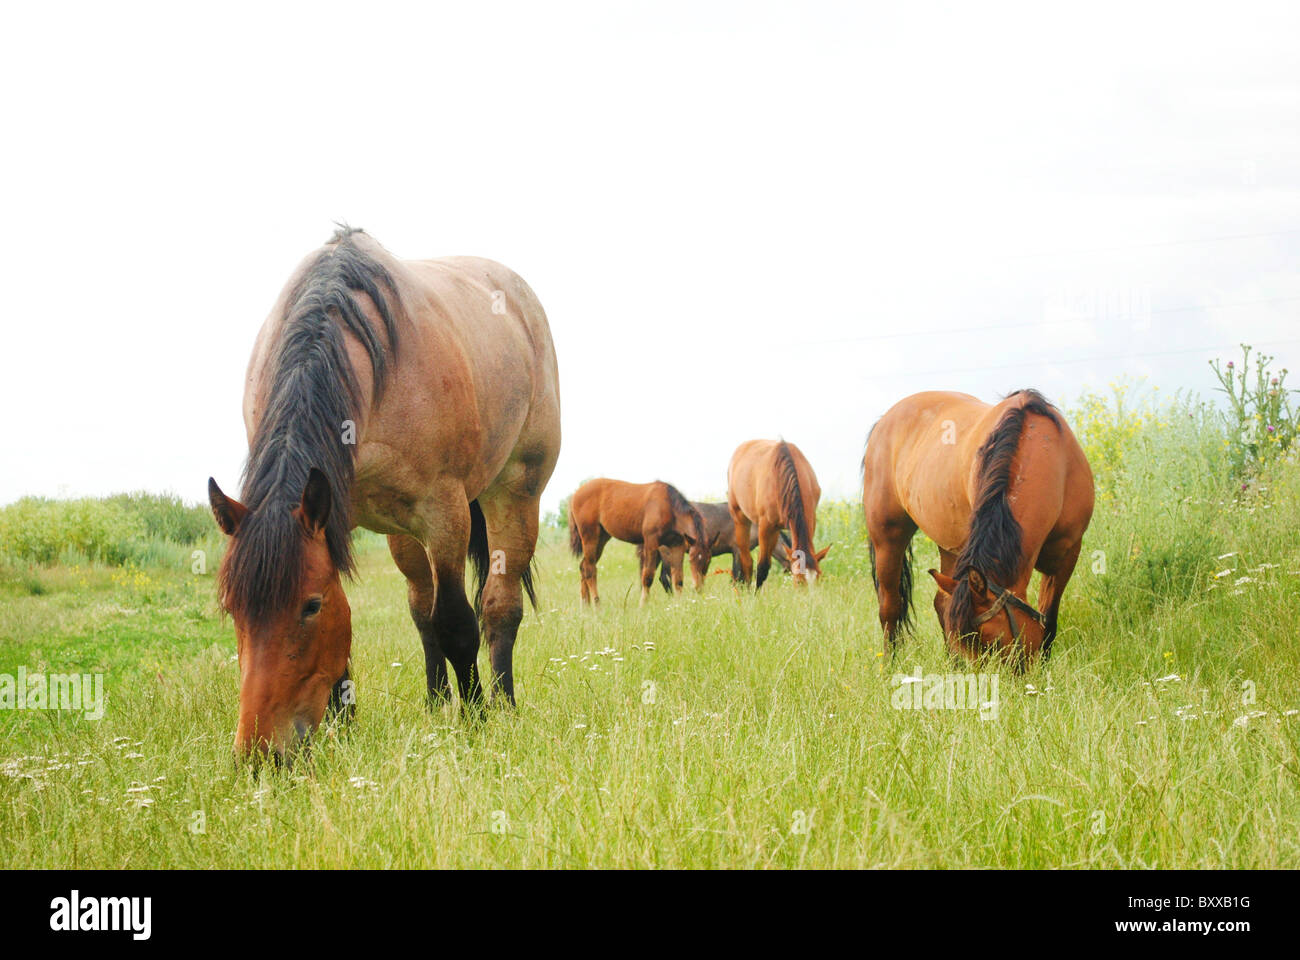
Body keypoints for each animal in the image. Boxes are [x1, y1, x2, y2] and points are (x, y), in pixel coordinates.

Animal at [208, 227, 560, 760]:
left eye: (310, 606)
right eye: (233, 608)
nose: (259, 754)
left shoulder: (444, 513)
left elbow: (457, 623)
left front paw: (475, 718)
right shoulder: (335, 514)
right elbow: (381, 628)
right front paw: (344, 723)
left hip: (515, 494)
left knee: (499, 607)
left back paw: (503, 703)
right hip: (403, 535)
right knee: (421, 609)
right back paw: (435, 703)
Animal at [567, 479, 711, 605]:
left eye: (707, 561)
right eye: (691, 559)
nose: (698, 588)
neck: (669, 507)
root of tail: (575, 495)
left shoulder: (677, 545)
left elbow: (678, 579)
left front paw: (679, 606)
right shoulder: (651, 542)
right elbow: (647, 576)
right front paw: (642, 605)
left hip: (601, 539)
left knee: (583, 566)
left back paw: (585, 607)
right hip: (590, 536)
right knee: (590, 569)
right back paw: (597, 606)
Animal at [726, 439, 828, 587]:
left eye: (818, 577)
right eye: (799, 581)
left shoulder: (810, 520)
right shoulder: (765, 526)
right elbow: (762, 566)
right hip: (740, 518)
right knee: (747, 562)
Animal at [861, 389, 1093, 665]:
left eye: (994, 643)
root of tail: (884, 421)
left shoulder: (1068, 555)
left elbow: (1048, 620)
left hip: (950, 546)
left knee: (941, 602)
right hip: (887, 538)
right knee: (890, 607)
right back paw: (890, 665)